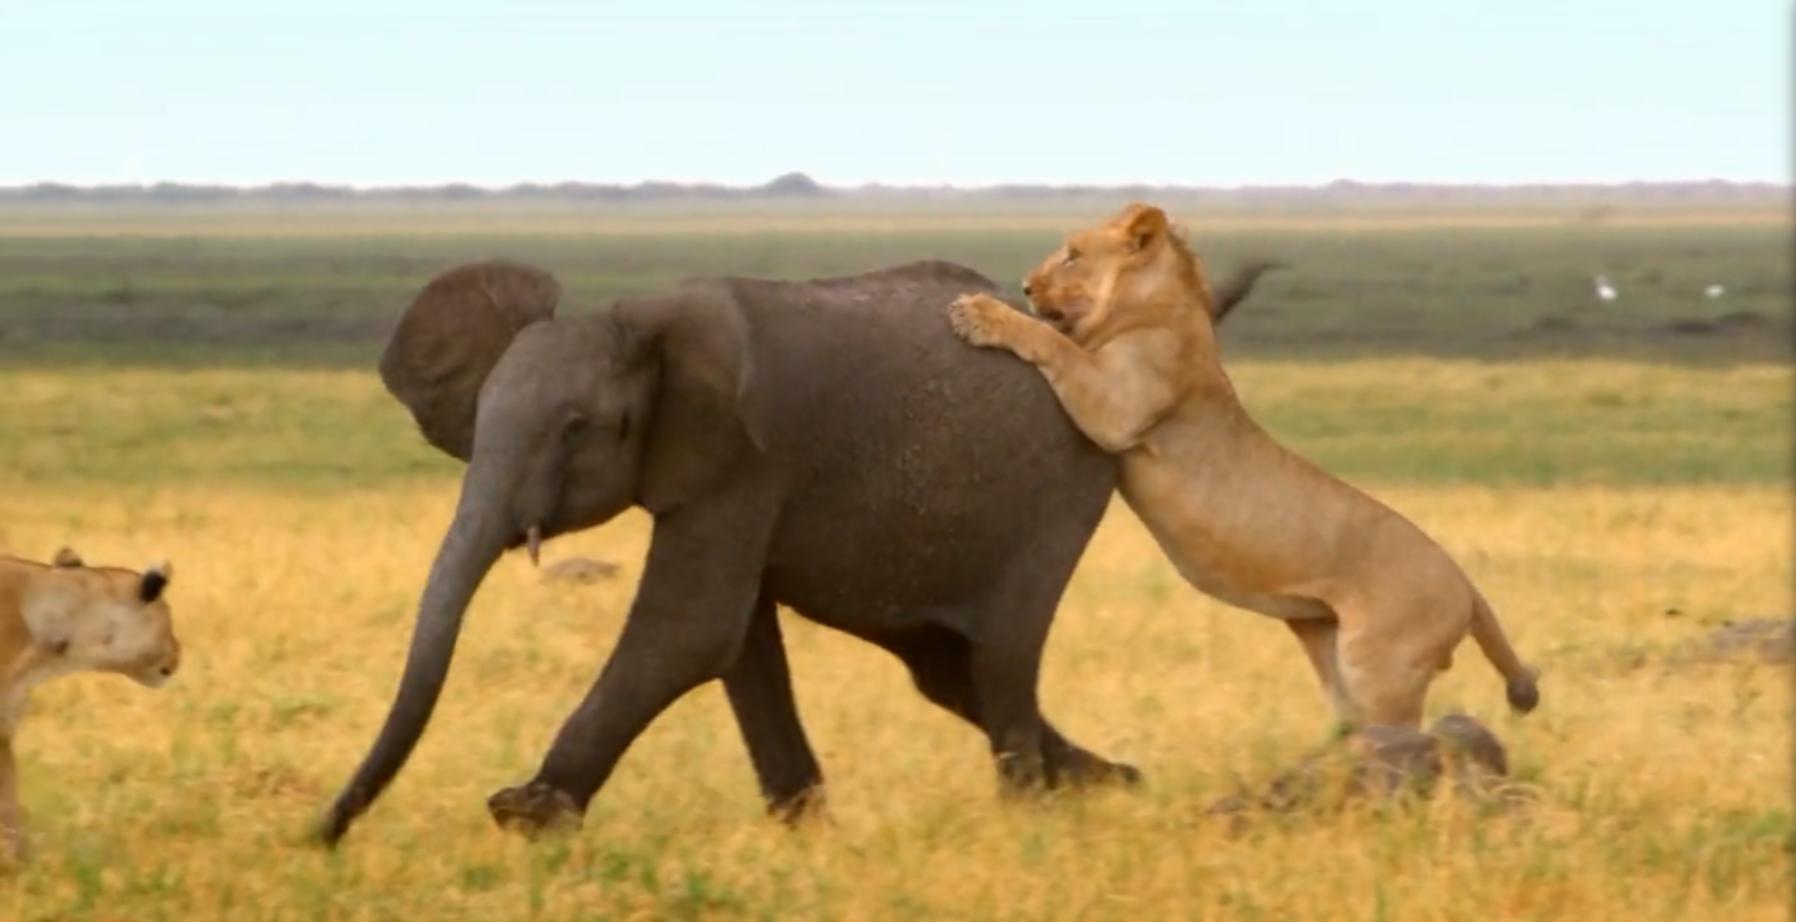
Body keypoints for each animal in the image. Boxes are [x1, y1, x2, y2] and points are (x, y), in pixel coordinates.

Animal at [319, 256, 1272, 844]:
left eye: (579, 429)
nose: (320, 837)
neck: (633, 321)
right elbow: (737, 641)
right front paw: (805, 831)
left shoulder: (747, 456)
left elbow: (689, 631)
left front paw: (524, 817)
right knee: (943, 668)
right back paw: (1116, 784)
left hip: (1063, 491)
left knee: (999, 660)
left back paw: (1028, 814)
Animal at [946, 203, 1538, 731]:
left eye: (1072, 255)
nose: (1026, 285)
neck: (1159, 304)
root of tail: (1464, 582)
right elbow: (1058, 338)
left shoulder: (1115, 405)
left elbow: (1050, 341)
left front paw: (981, 312)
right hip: (1328, 644)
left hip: (1379, 666)